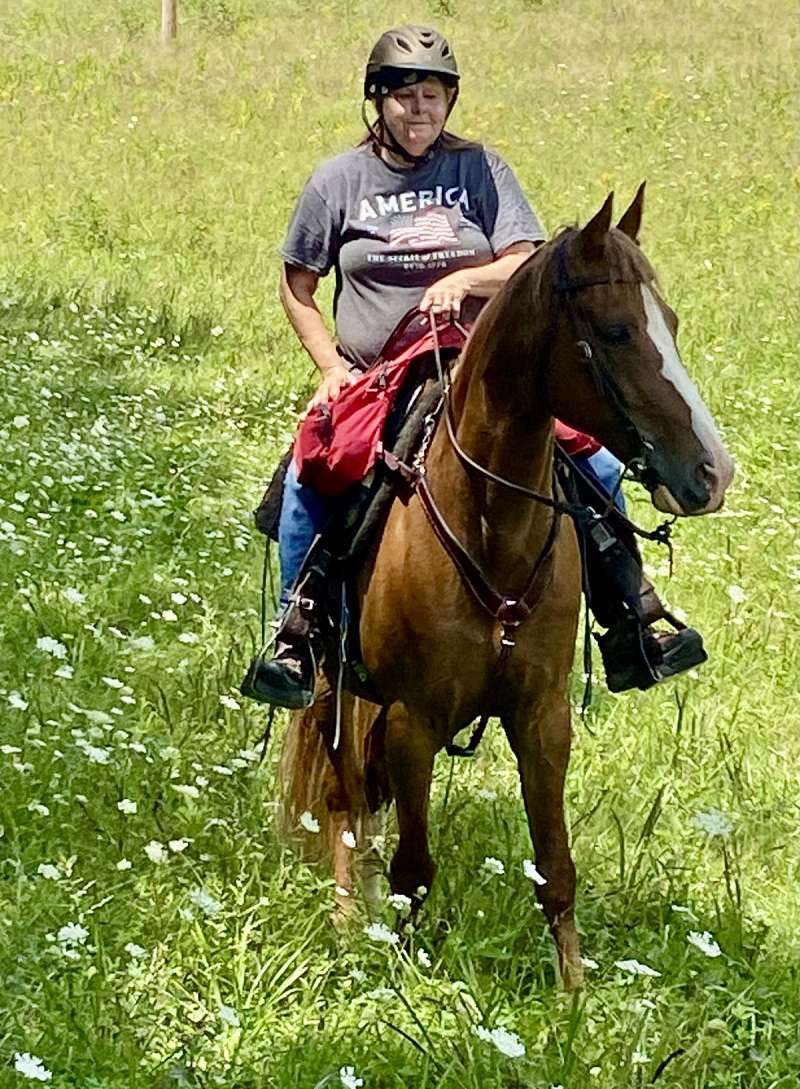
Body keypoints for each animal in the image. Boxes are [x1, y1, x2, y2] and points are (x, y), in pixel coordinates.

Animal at [277, 185, 735, 990]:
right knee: (345, 799)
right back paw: (345, 915)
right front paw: (404, 978)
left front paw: (573, 992)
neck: (491, 524)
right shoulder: (415, 719)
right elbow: (414, 865)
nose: (712, 472)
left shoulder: (542, 716)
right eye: (617, 331)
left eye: (672, 324)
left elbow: (555, 865)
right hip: (334, 683)